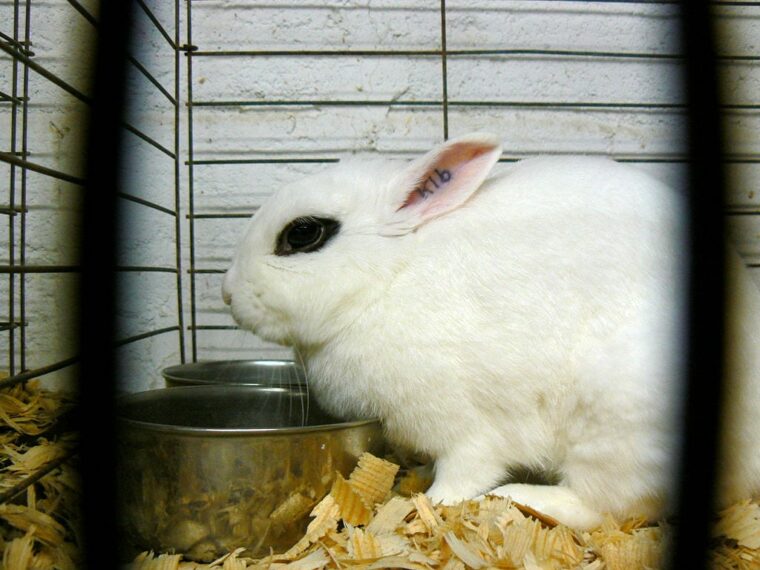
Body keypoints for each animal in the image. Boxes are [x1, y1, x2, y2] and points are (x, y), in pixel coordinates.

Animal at [222, 133, 760, 529]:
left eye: (303, 233)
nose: (227, 295)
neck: (389, 278)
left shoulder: (467, 425)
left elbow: (466, 470)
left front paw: (435, 504)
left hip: (621, 425)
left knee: (607, 505)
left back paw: (524, 499)